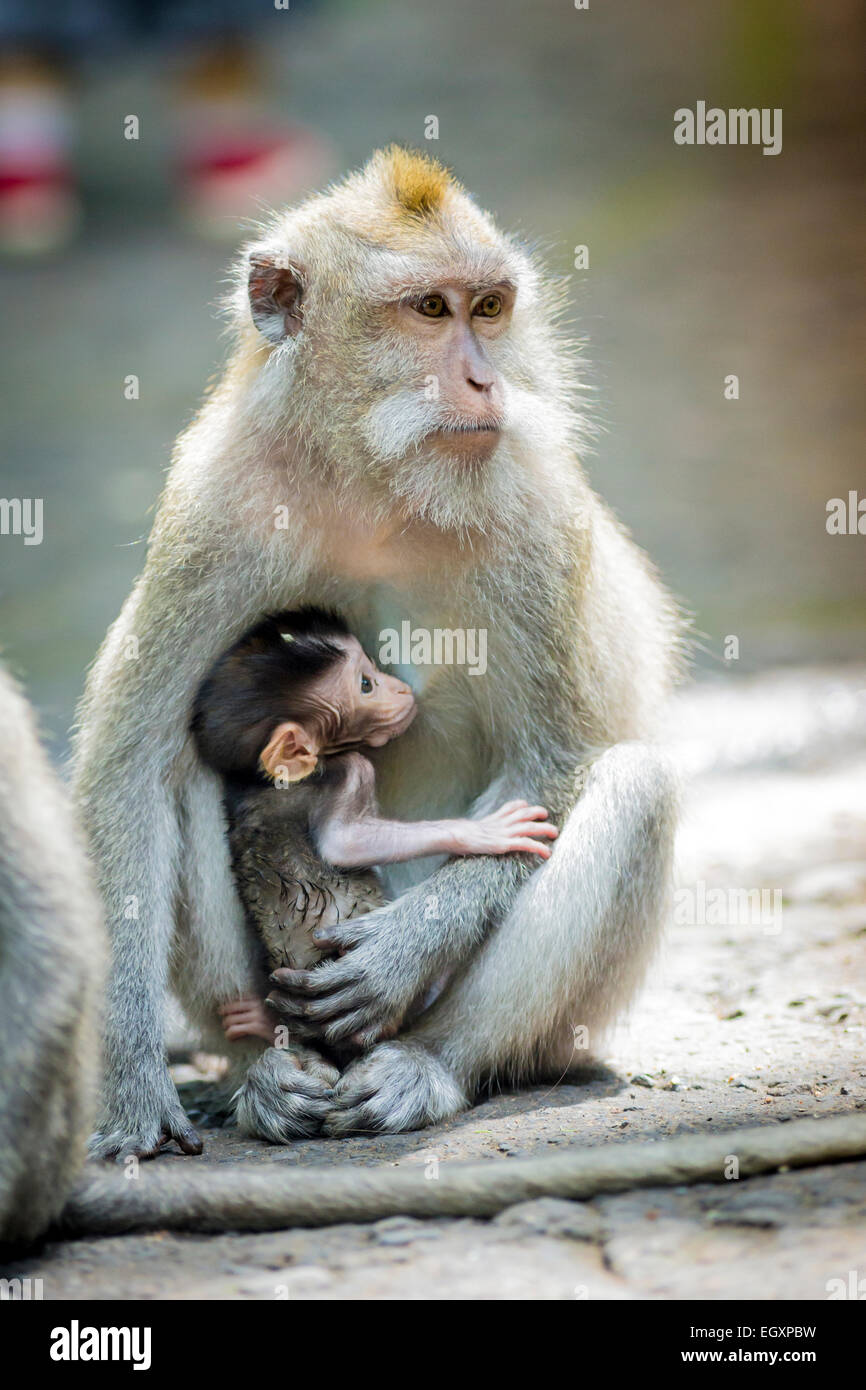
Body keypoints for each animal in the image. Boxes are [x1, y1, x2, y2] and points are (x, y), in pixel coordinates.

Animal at [189, 605, 558, 1137]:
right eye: (365, 684)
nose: (400, 688)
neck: (262, 780)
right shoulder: (348, 770)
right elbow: (347, 841)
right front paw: (482, 833)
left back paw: (257, 1019)